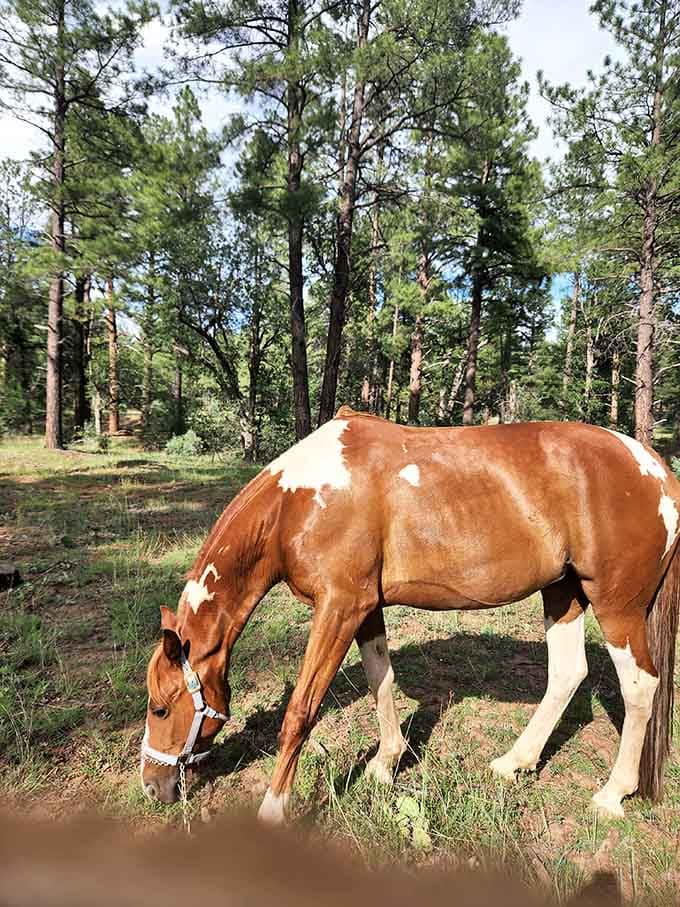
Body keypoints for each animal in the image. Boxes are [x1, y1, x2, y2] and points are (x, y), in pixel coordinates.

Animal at [141, 408, 680, 824]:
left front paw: (274, 809)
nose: (151, 786)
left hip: (617, 606)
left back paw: (612, 795)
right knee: (568, 674)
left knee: (640, 686)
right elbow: (381, 677)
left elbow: (300, 713)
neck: (300, 500)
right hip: (563, 593)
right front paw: (385, 763)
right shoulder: (364, 607)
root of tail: (656, 467)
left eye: (160, 708)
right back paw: (514, 762)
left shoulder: (338, 606)